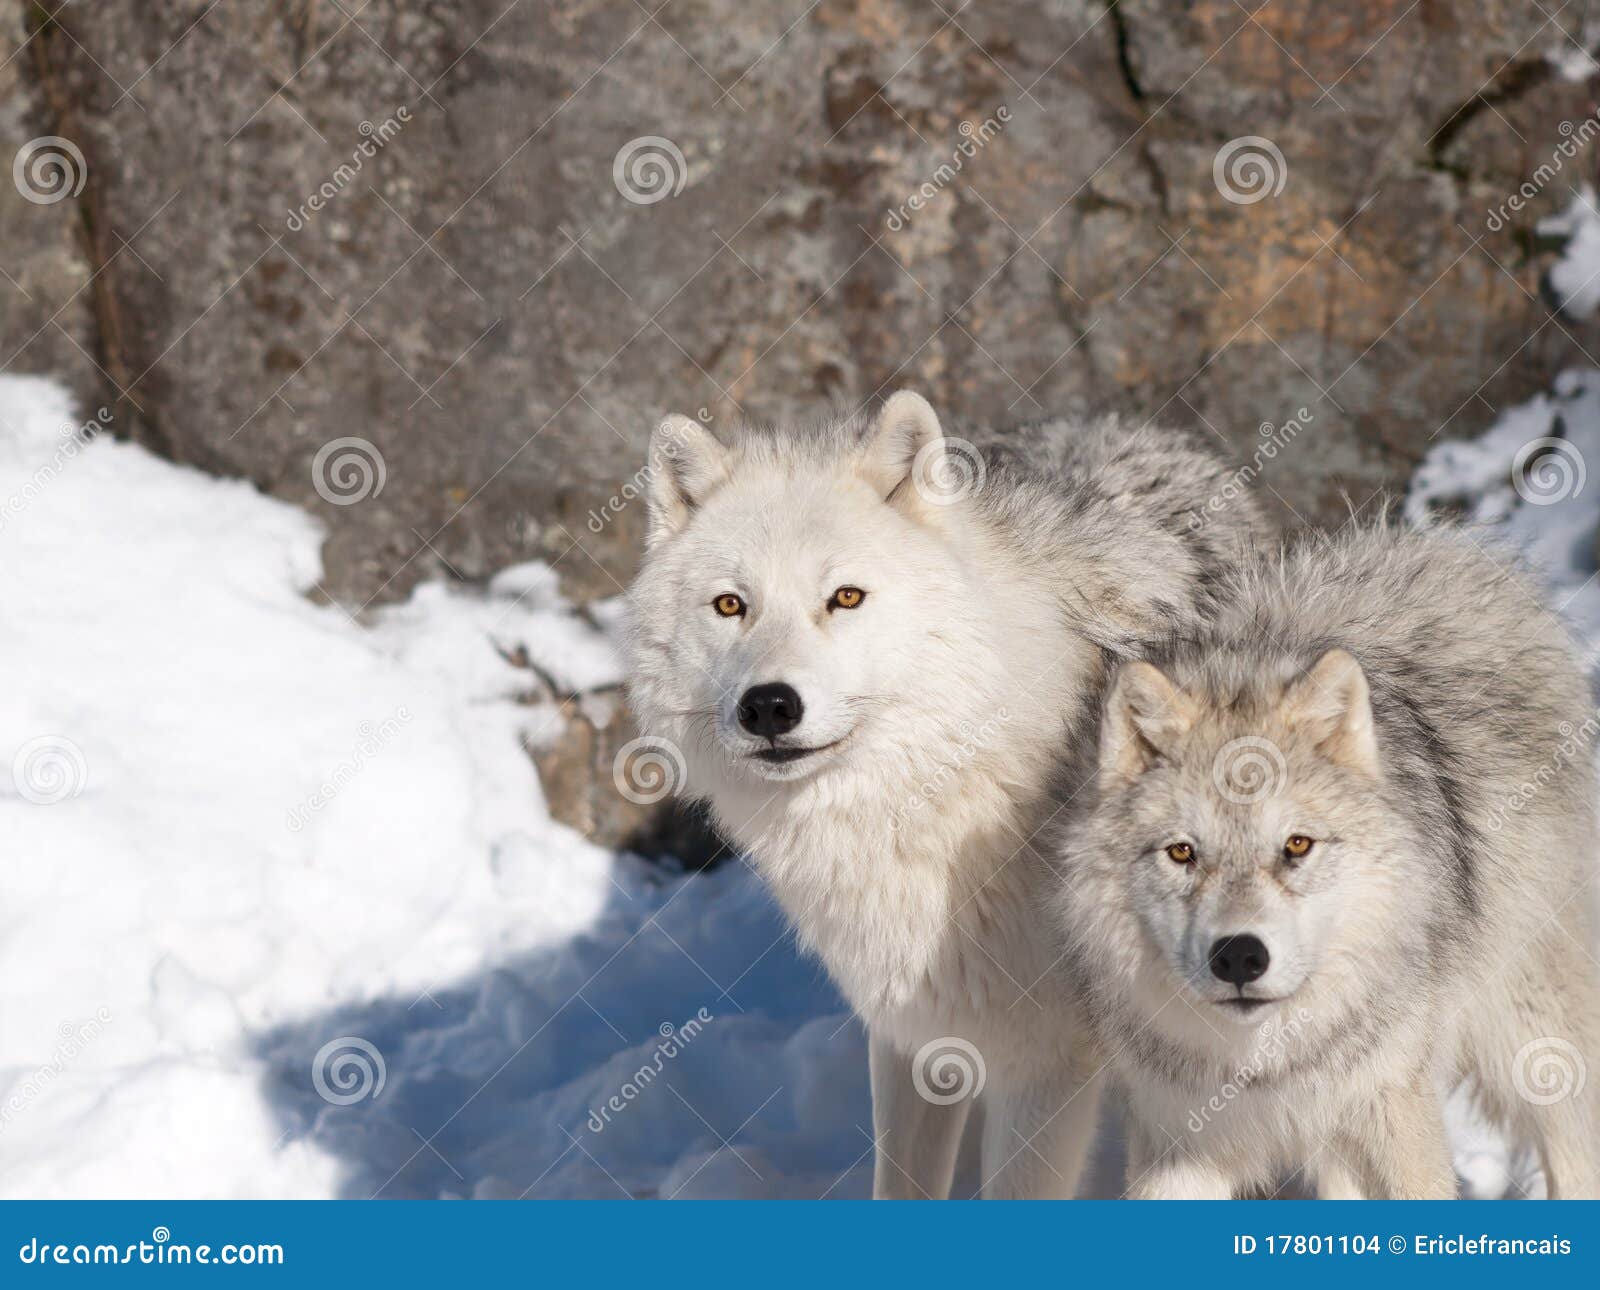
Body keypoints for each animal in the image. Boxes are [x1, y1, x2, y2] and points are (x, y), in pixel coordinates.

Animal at [624, 390, 1270, 1198]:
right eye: (730, 605)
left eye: (845, 597)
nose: (769, 706)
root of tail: (1128, 424)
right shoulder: (908, 1030)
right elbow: (900, 1182)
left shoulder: (1047, 1064)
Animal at [1054, 523, 1600, 1199]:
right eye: (1183, 852)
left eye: (1296, 845)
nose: (1239, 956)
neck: (1269, 1064)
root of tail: (1452, 554)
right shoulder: (1180, 1143)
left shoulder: (1396, 1112)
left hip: (1536, 1049)